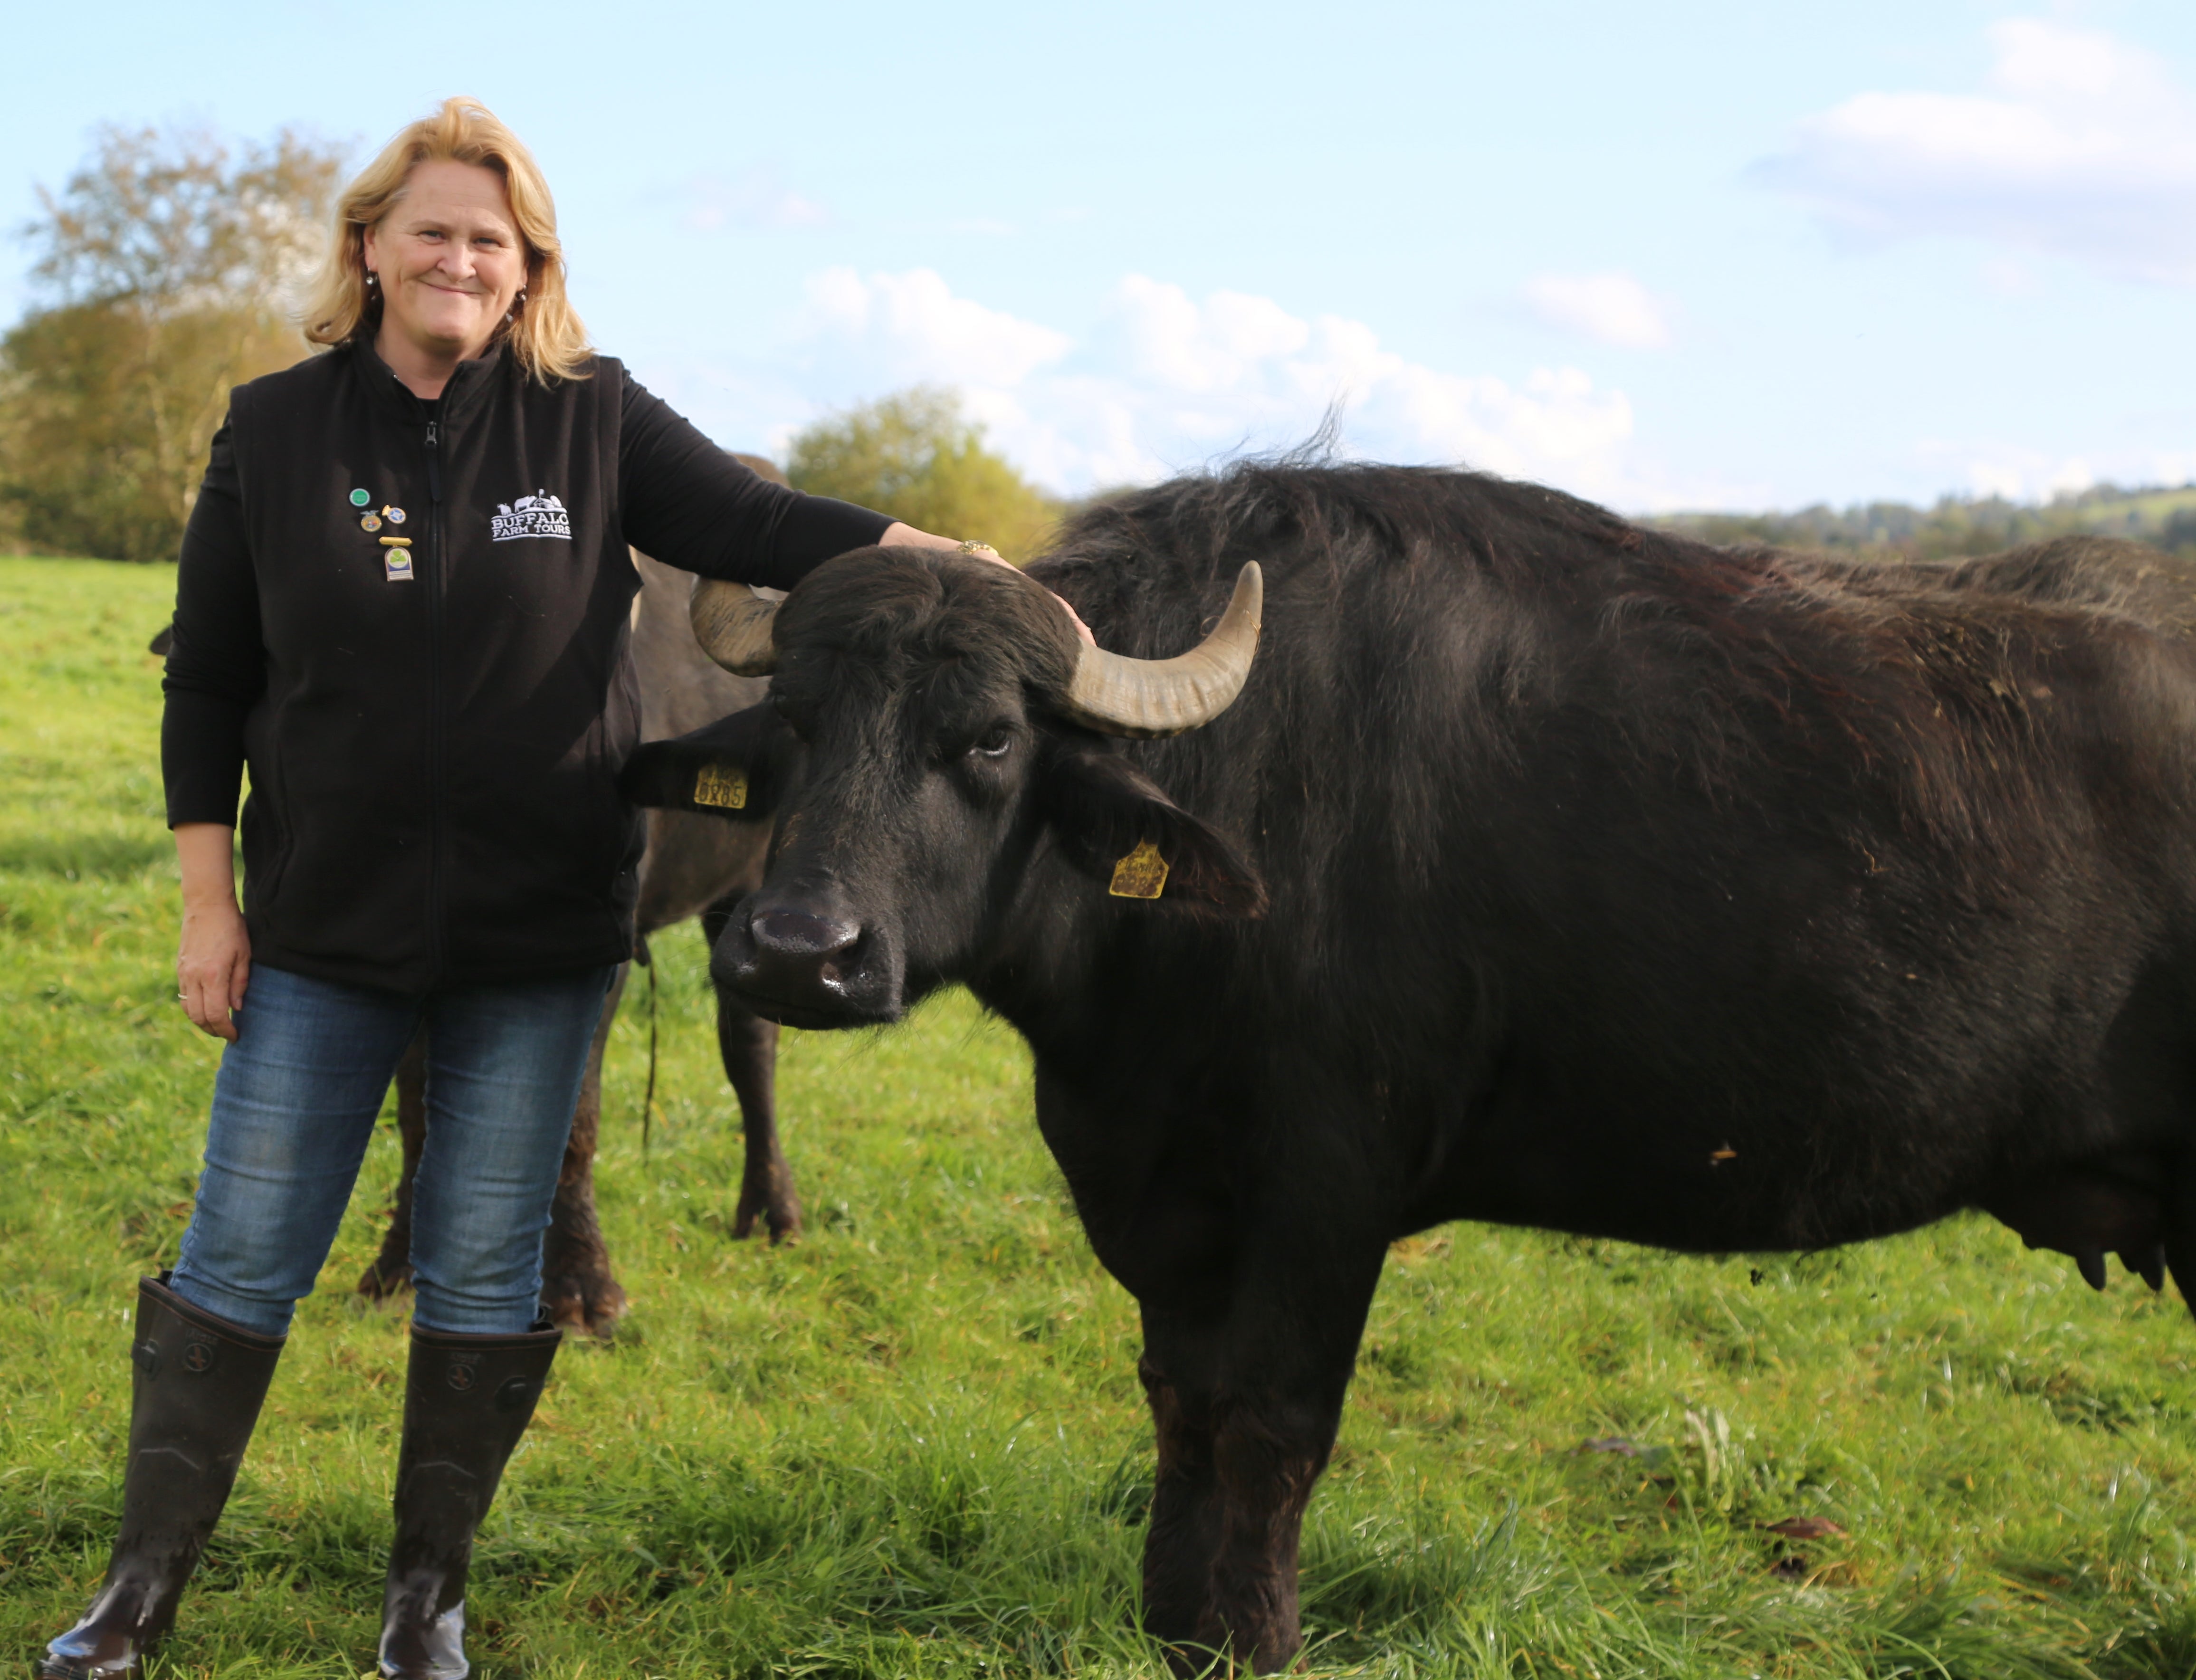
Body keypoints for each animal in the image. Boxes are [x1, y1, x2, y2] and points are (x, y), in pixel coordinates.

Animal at [622, 460, 2196, 1671]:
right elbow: (1180, 1408)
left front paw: (1252, 1637)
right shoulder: (1166, 1193)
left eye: (991, 739)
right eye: (800, 722)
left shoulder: (1325, 1187)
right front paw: (1173, 1624)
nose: (795, 951)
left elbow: (1268, 1430)